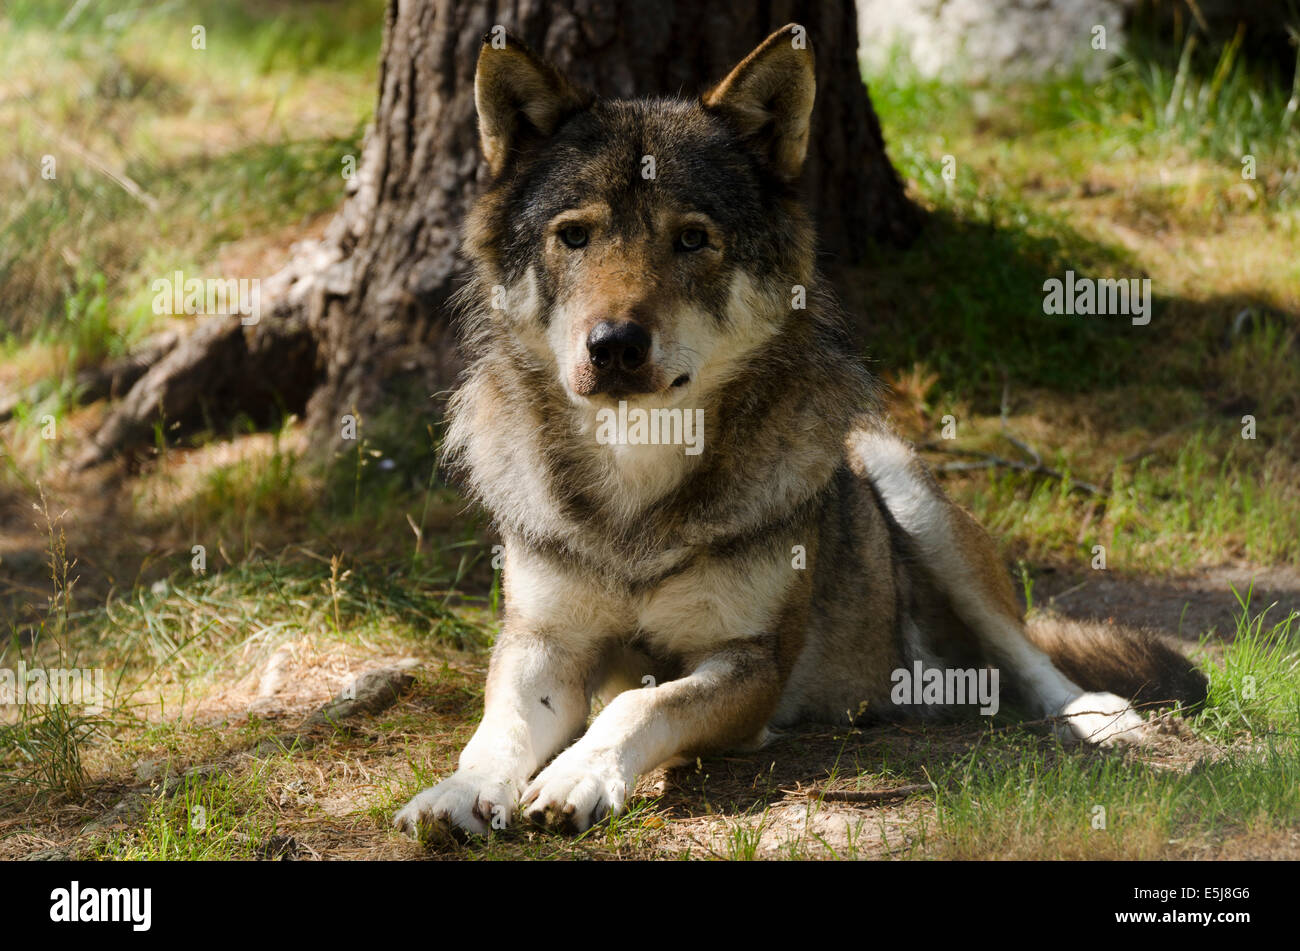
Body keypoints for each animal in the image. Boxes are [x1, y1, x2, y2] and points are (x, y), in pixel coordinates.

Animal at [395, 24, 1207, 841]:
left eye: (692, 239)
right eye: (574, 236)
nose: (615, 345)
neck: (637, 493)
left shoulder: (752, 663)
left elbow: (636, 703)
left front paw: (576, 775)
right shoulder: (542, 645)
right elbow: (495, 730)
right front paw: (460, 790)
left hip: (907, 489)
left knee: (1029, 654)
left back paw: (1097, 715)